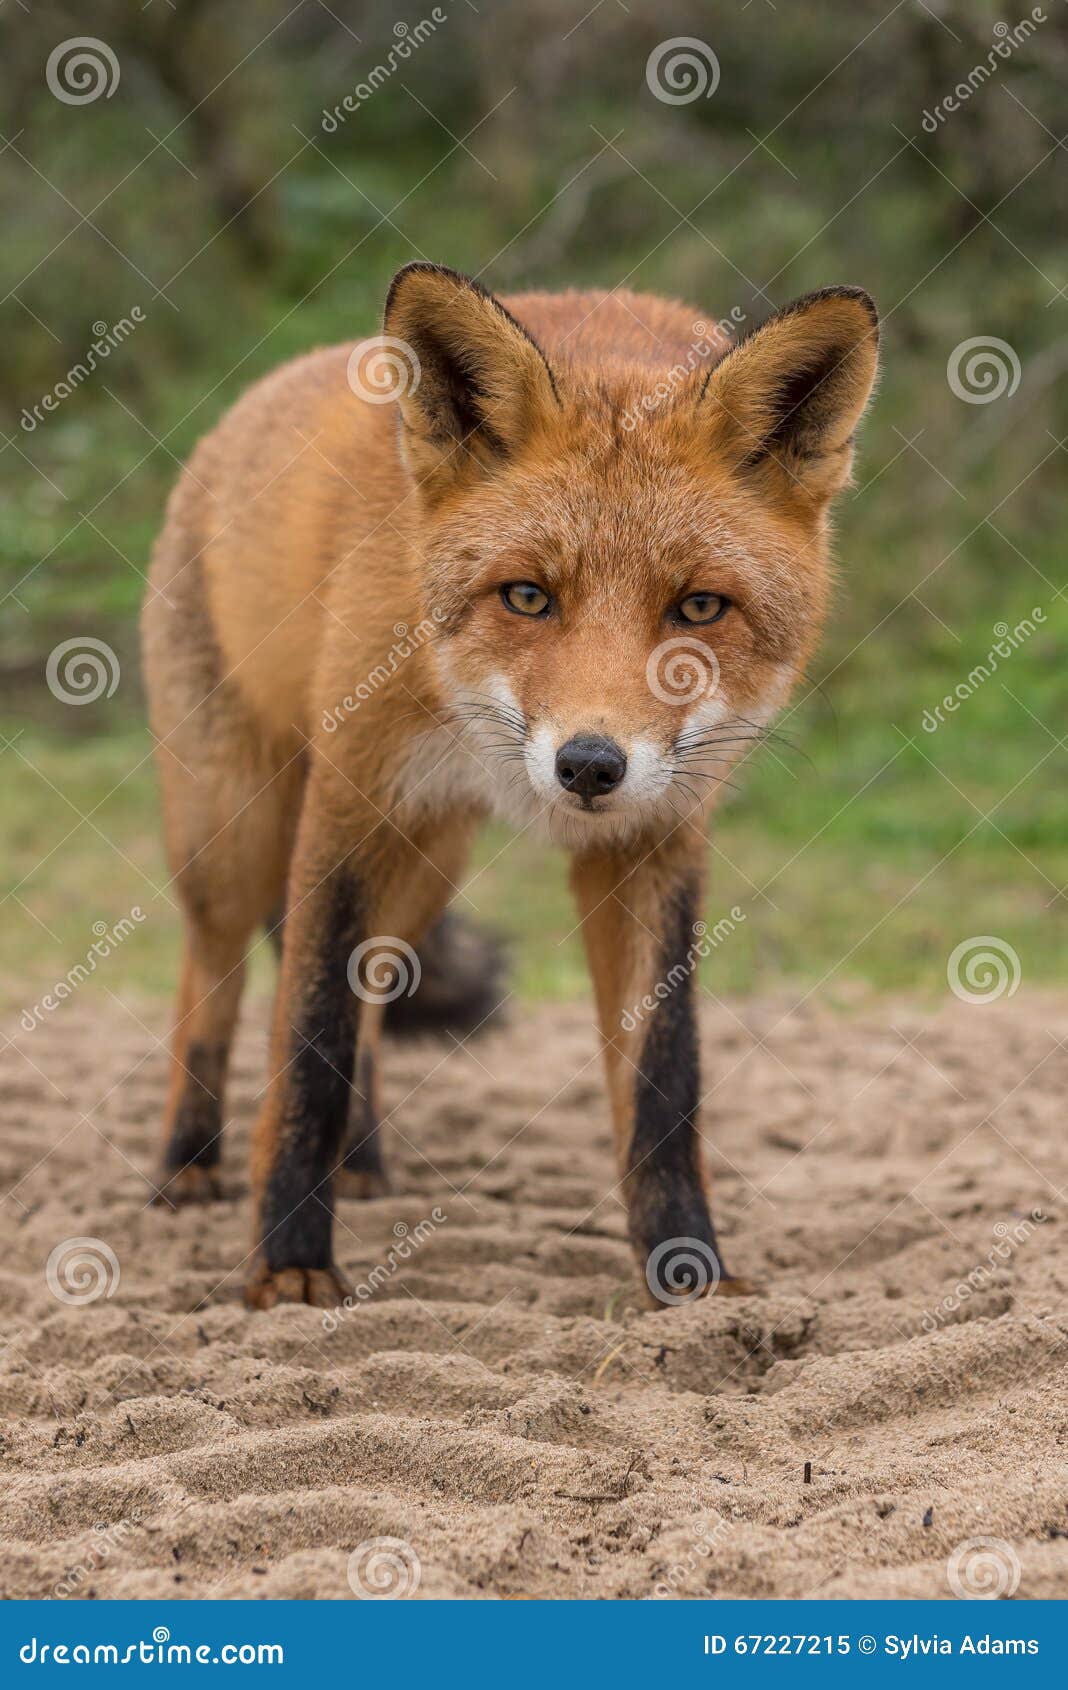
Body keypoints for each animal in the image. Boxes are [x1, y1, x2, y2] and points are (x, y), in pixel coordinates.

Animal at [142, 262, 878, 1310]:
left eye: (699, 607)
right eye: (527, 596)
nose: (590, 765)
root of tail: (236, 413)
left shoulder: (652, 842)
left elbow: (664, 1082)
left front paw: (688, 1274)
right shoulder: (350, 802)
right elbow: (309, 1043)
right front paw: (288, 1262)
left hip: (426, 870)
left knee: (367, 1001)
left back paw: (361, 1160)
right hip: (235, 840)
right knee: (219, 975)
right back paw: (189, 1159)